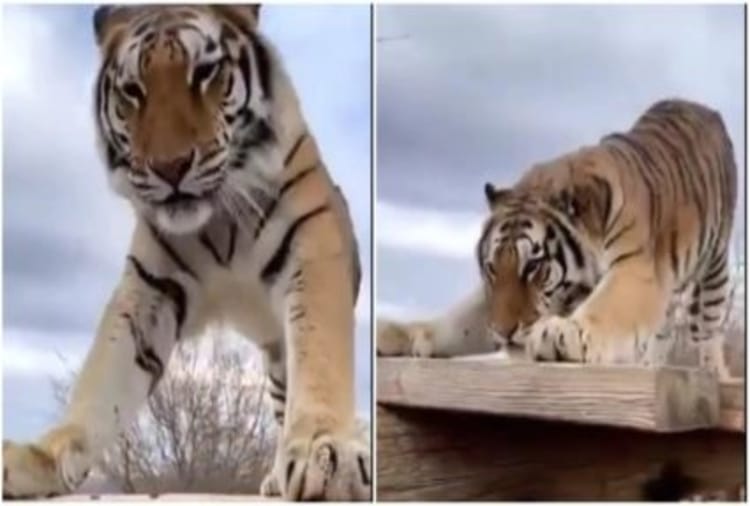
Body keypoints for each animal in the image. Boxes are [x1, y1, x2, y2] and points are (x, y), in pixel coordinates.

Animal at [3, 5, 370, 501]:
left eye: (206, 72)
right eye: (133, 91)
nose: (170, 167)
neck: (219, 217)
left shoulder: (310, 251)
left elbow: (321, 359)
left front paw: (327, 454)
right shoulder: (150, 290)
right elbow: (100, 384)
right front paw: (38, 460)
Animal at [378, 98, 737, 381]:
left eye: (534, 267)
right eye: (492, 268)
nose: (503, 332)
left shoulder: (637, 270)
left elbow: (607, 308)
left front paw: (563, 333)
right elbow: (458, 321)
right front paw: (400, 334)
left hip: (715, 266)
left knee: (707, 327)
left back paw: (713, 372)